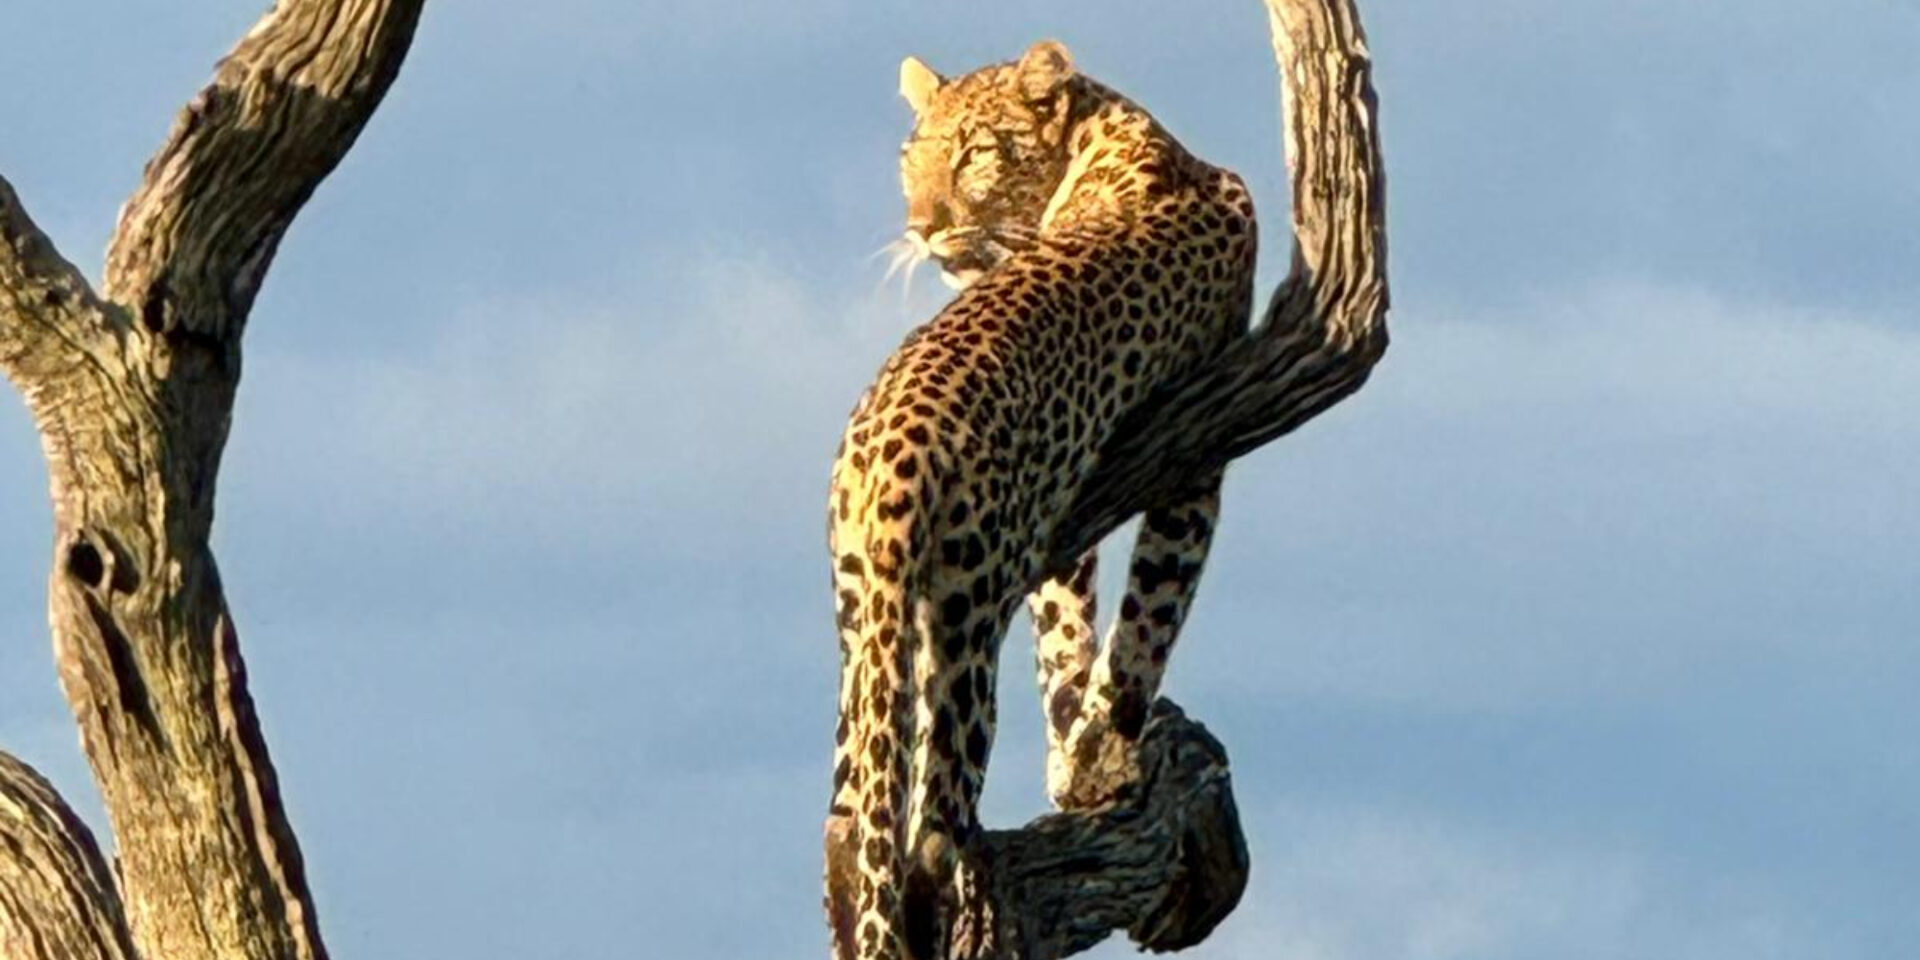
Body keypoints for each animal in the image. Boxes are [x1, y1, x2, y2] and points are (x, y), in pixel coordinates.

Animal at [825, 40, 1257, 960]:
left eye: (973, 155)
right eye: (913, 158)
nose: (922, 226)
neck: (1116, 123)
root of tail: (894, 445)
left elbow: (1067, 634)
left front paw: (1079, 755)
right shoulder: (1195, 468)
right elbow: (1145, 619)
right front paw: (1103, 754)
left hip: (861, 623)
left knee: (851, 820)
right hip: (965, 621)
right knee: (933, 828)